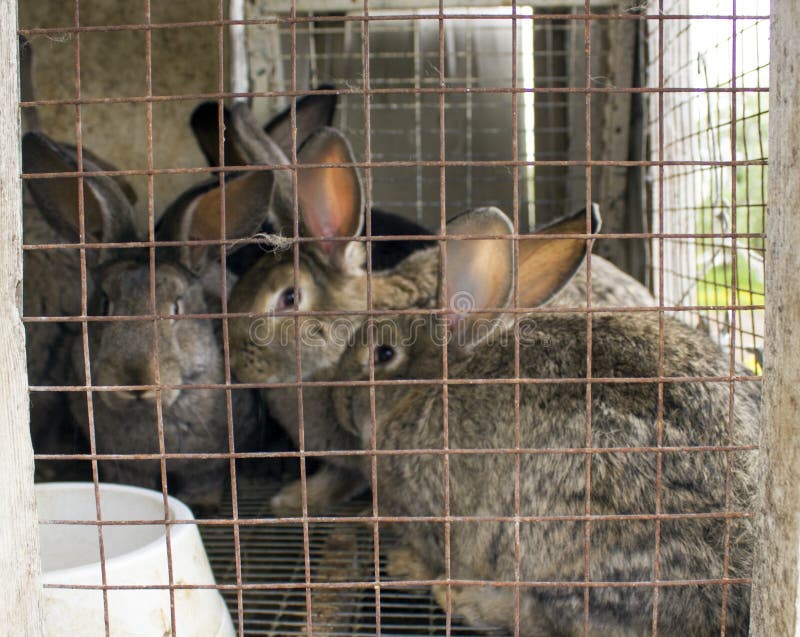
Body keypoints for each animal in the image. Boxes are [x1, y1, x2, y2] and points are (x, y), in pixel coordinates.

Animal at [22, 122, 275, 511]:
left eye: (176, 308)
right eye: (104, 304)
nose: (135, 380)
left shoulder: (212, 461)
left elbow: (205, 480)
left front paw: (204, 505)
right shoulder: (122, 464)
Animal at [329, 205, 759, 636]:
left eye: (383, 354)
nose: (337, 397)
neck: (432, 386)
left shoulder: (434, 511)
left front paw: (404, 564)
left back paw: (459, 598)